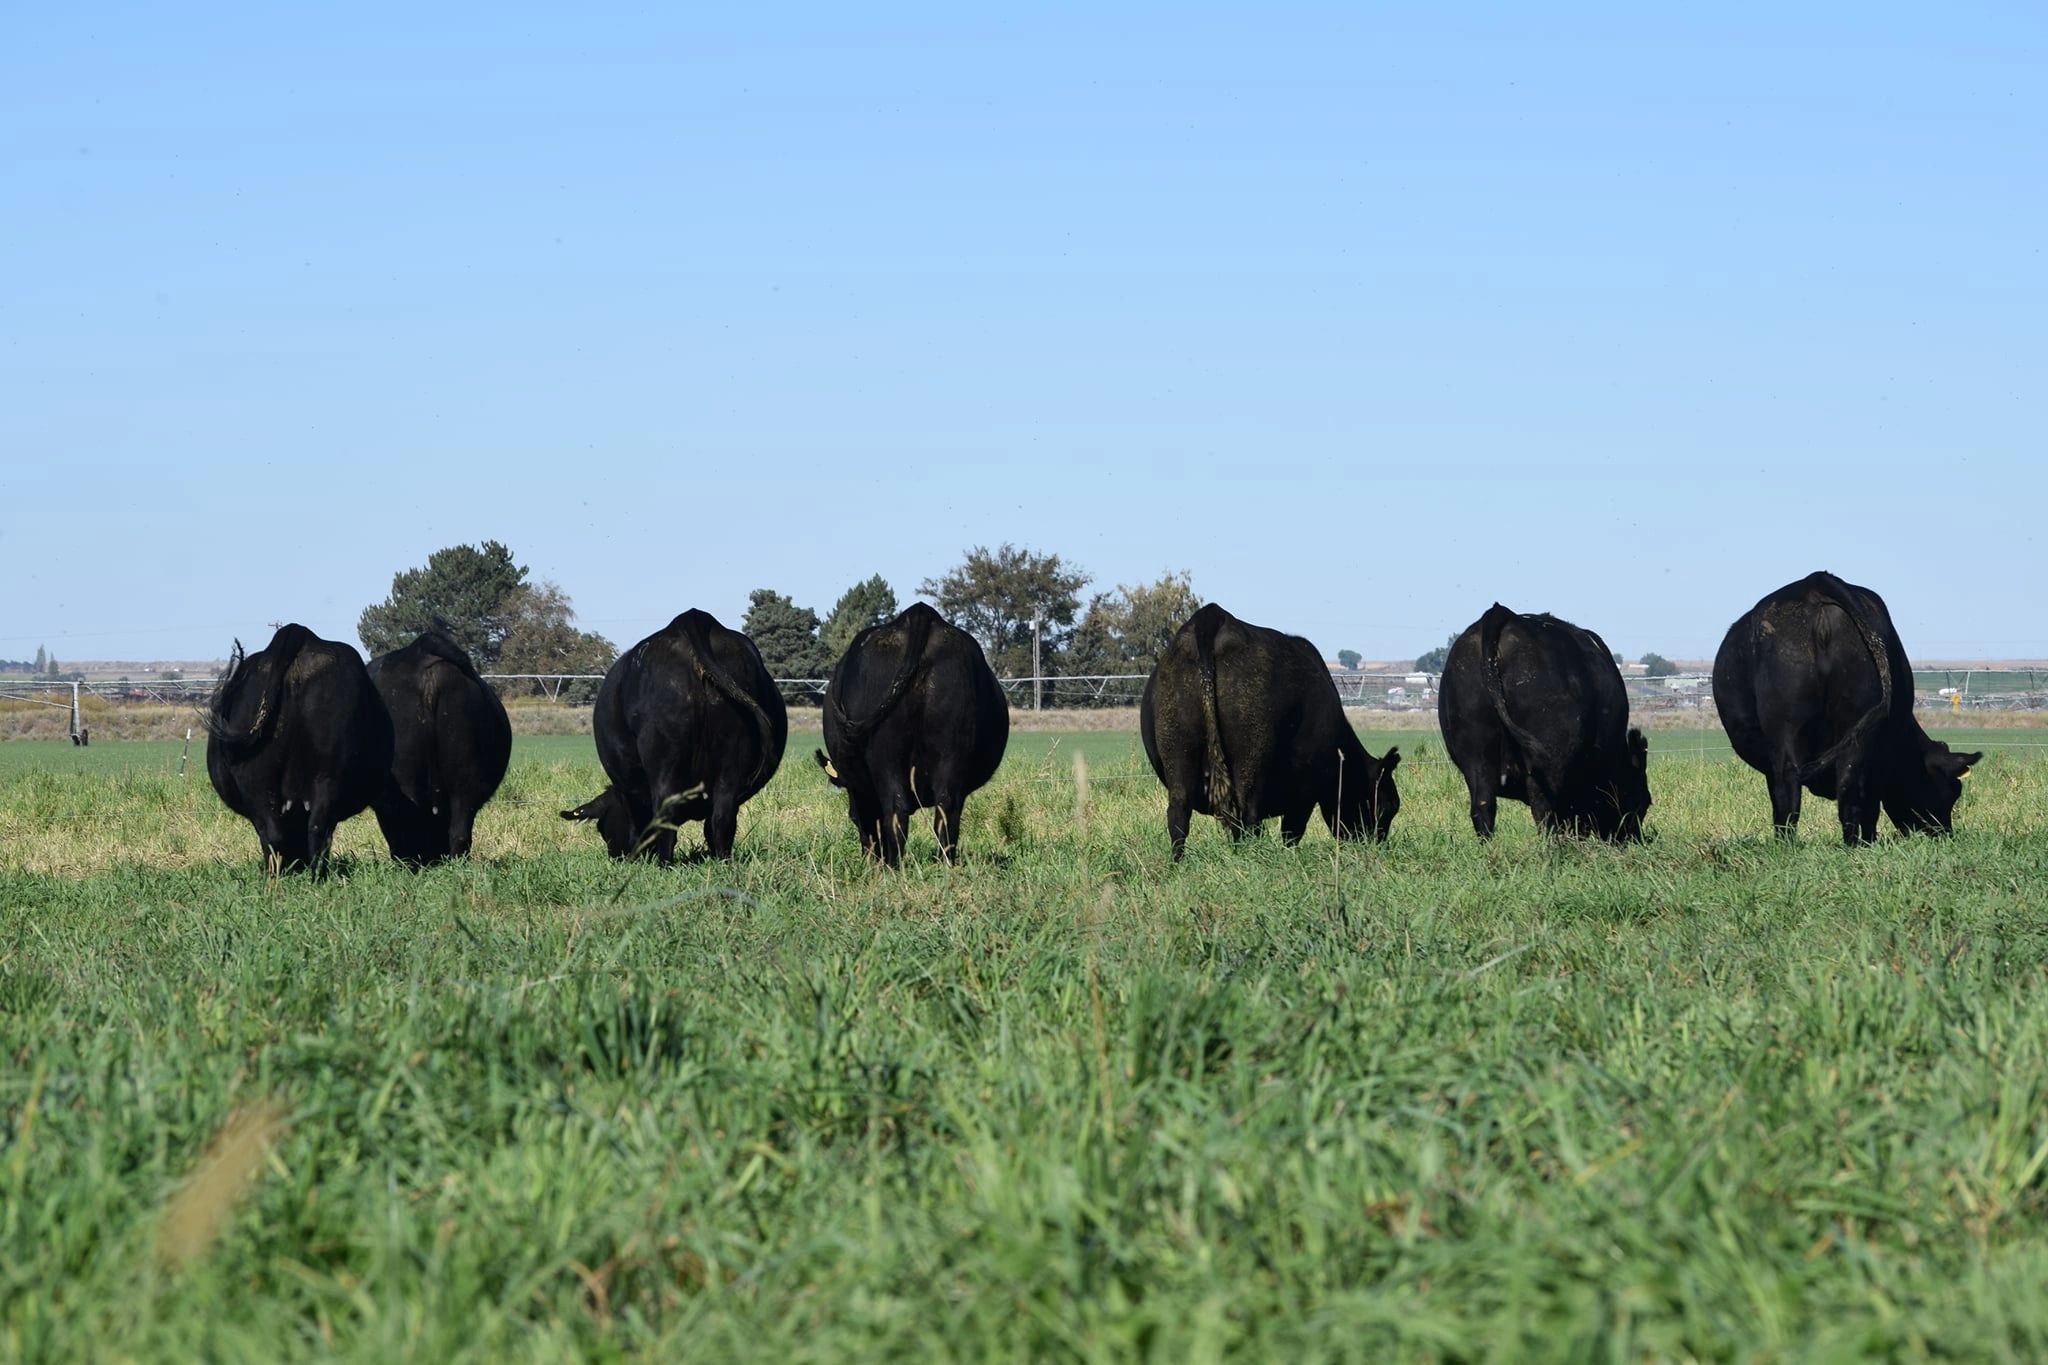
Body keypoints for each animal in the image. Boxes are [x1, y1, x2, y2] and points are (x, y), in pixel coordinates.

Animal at [560, 609, 787, 861]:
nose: (616, 856)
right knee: (721, 818)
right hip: (733, 756)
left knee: (666, 817)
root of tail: (691, 618)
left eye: (602, 827)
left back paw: (664, 863)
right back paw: (722, 860)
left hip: (664, 759)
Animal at [812, 602, 1009, 865]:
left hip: (886, 753)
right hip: (952, 749)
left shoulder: (859, 788)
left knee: (897, 809)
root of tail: (919, 614)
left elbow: (869, 822)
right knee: (946, 808)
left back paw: (893, 865)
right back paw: (944, 863)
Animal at [1140, 603, 1401, 860]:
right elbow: (1291, 832)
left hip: (1177, 746)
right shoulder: (1305, 790)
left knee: (1179, 813)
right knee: (1246, 813)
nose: (1374, 850)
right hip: (1251, 754)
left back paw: (1179, 863)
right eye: (1387, 808)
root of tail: (1212, 616)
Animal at [1438, 603, 1650, 841]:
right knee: (1543, 809)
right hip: (1547, 760)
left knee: (1483, 807)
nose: (1633, 839)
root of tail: (1501, 613)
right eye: (1643, 802)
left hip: (1475, 752)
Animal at [1713, 571, 1981, 844]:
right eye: (1952, 792)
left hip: (1786, 725)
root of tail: (1815, 583)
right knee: (1847, 788)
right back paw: (1853, 844)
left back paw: (1788, 844)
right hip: (1854, 720)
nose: (1945, 835)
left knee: (1790, 788)